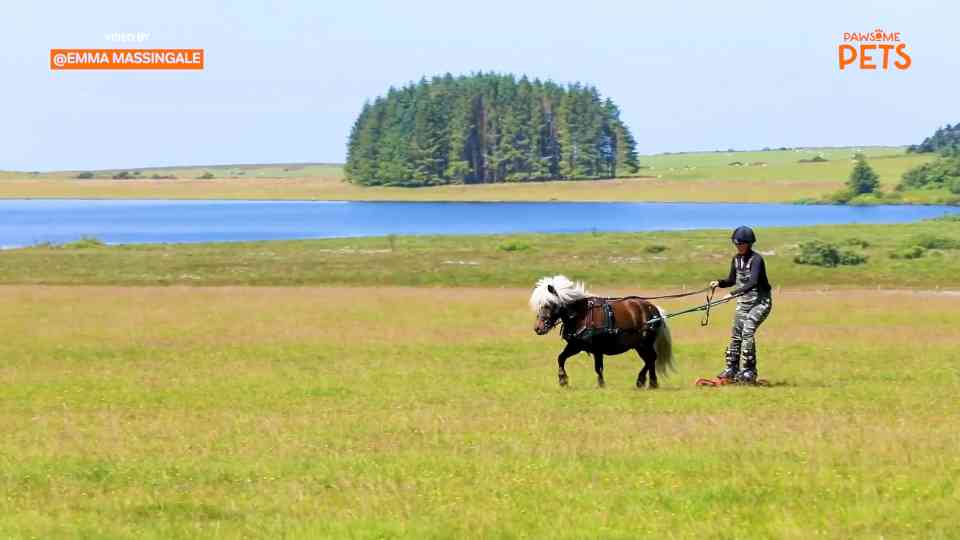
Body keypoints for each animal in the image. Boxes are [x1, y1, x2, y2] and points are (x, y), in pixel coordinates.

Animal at [529, 275, 674, 388]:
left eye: (549, 304)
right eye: (540, 305)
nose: (538, 328)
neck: (582, 315)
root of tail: (655, 310)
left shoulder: (597, 348)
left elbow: (598, 367)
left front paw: (601, 384)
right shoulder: (576, 345)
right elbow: (561, 358)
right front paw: (563, 380)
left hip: (645, 343)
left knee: (651, 359)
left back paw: (642, 380)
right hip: (639, 345)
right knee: (650, 360)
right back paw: (652, 383)